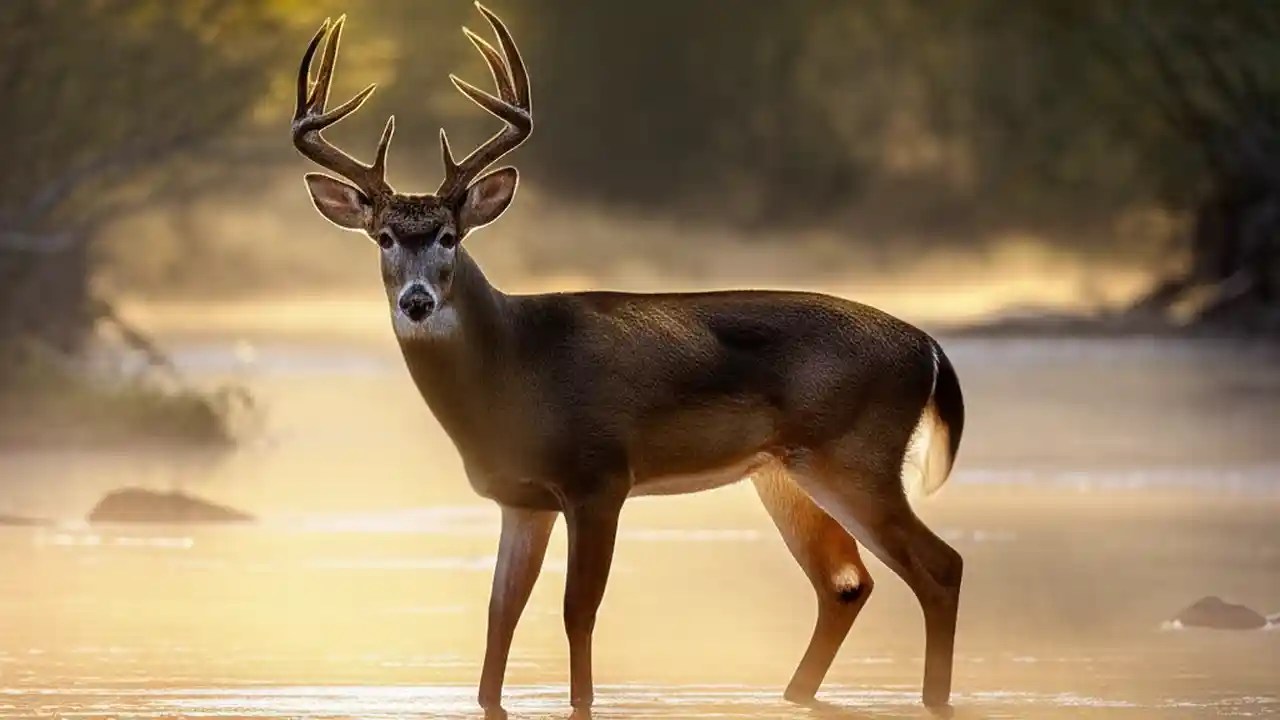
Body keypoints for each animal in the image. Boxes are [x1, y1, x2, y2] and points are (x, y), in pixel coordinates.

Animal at [291, 6, 965, 718]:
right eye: (384, 237)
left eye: (449, 236)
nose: (417, 300)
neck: (514, 372)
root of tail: (929, 347)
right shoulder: (521, 499)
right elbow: (500, 614)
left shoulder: (599, 476)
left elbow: (576, 610)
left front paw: (583, 703)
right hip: (784, 472)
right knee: (845, 583)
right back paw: (797, 694)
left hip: (855, 456)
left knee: (940, 567)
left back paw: (933, 698)